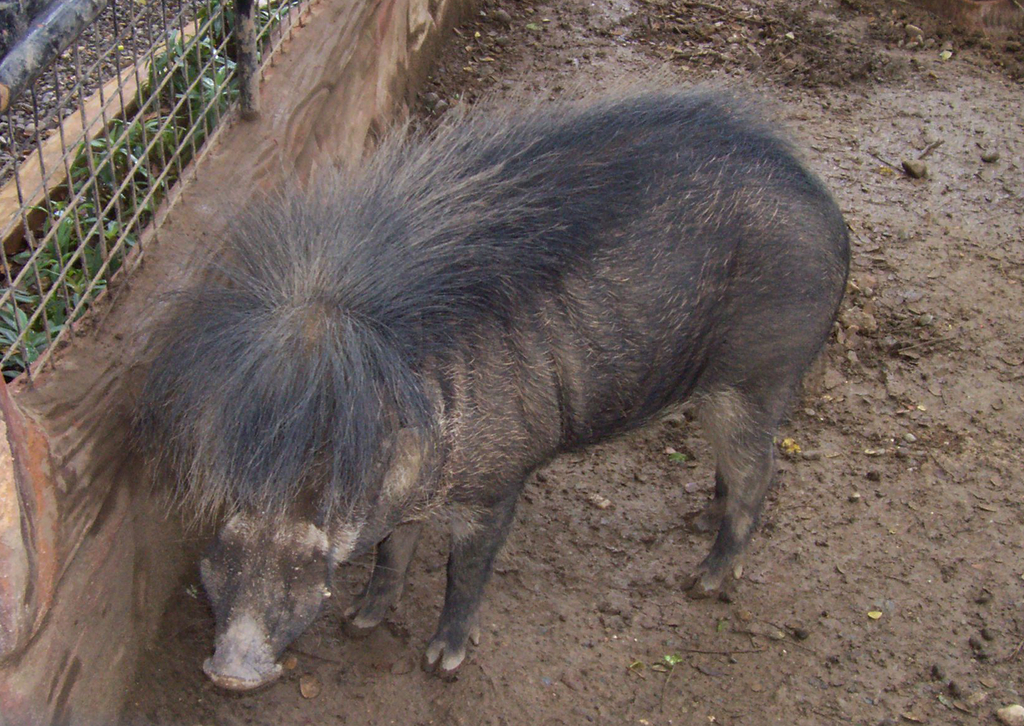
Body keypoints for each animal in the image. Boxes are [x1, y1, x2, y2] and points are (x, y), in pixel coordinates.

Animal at [135, 89, 850, 690]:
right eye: (239, 475)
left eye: (334, 480)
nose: (231, 669)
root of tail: (823, 203)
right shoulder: (409, 502)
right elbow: (391, 555)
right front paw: (360, 624)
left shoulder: (500, 484)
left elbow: (465, 574)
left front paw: (439, 664)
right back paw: (696, 521)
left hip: (758, 376)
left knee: (761, 473)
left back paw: (702, 582)